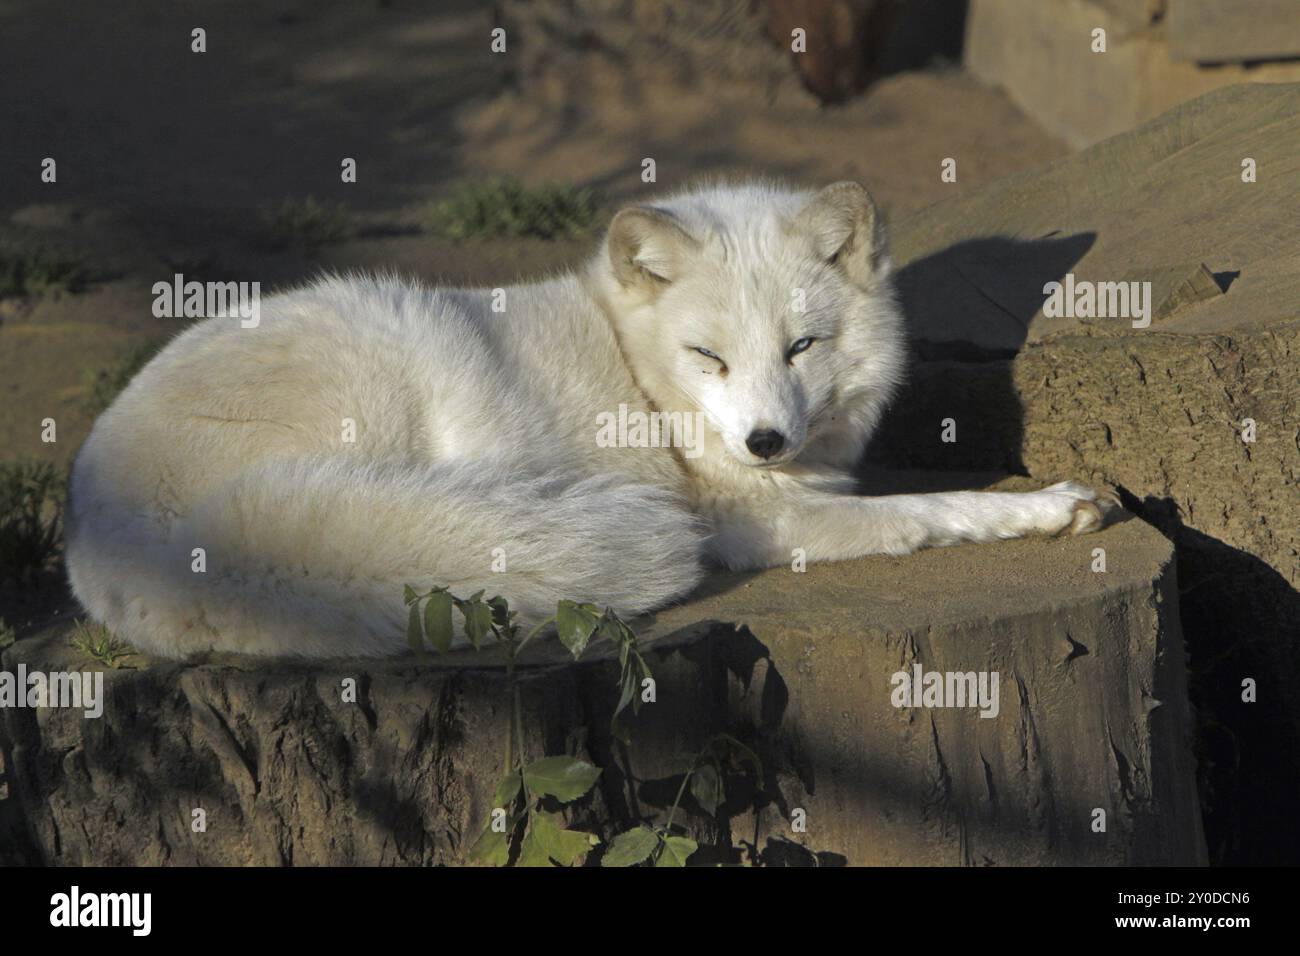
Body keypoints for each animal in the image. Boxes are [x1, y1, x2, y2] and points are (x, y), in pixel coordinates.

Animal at [66, 181, 1112, 659]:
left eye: (801, 347)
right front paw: (1047, 506)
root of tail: (109, 524)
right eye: (709, 357)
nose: (764, 442)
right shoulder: (758, 522)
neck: (640, 376)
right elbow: (925, 510)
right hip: (396, 344)